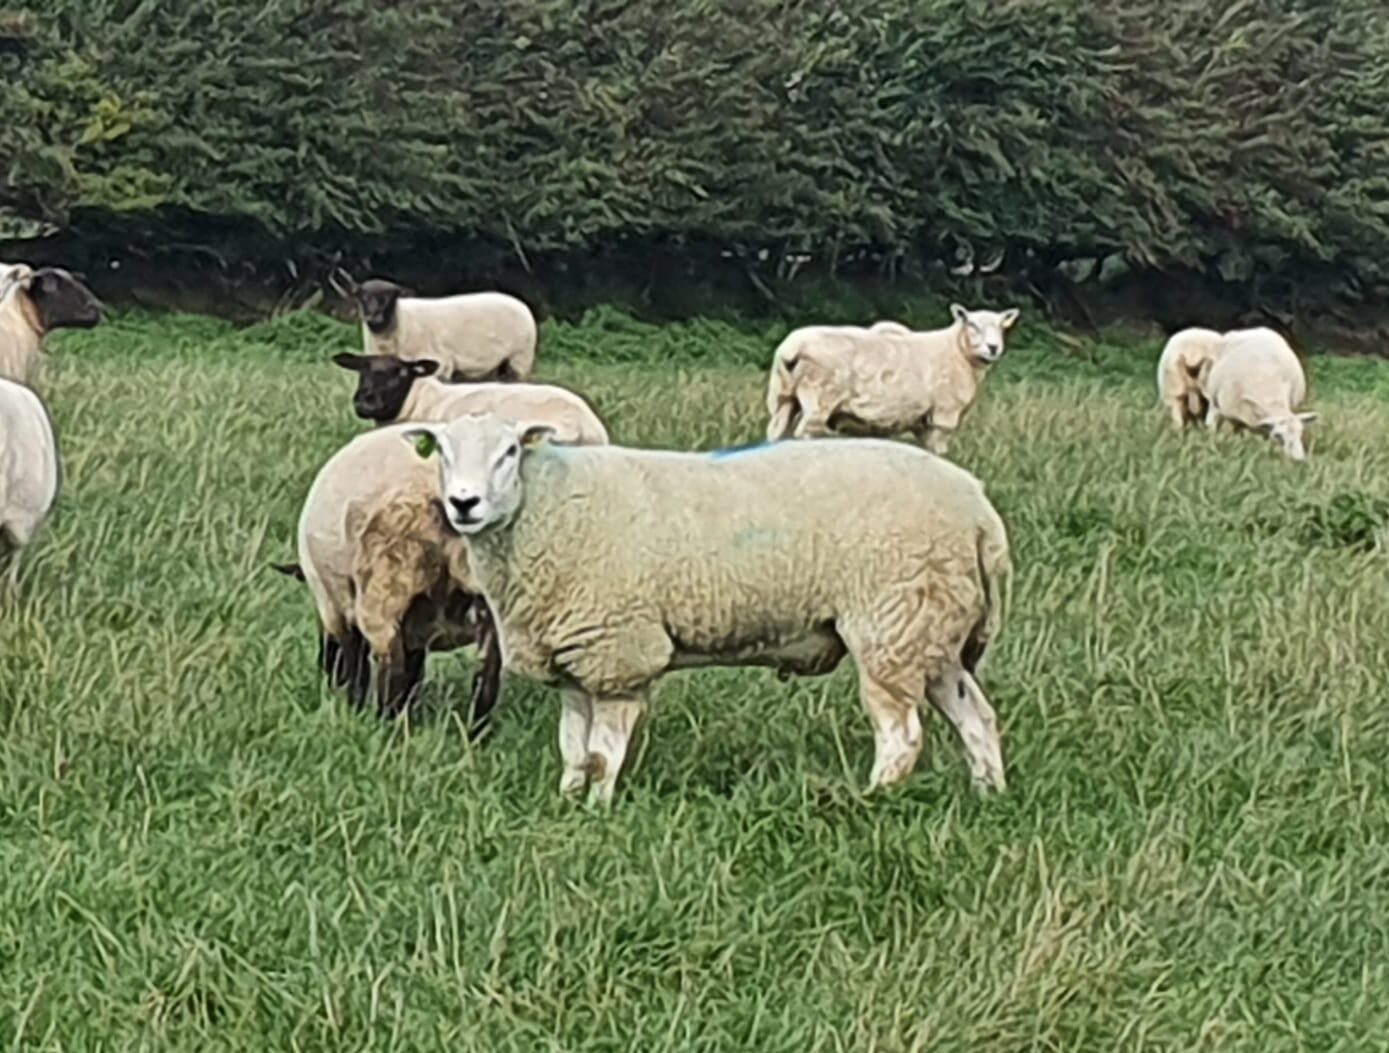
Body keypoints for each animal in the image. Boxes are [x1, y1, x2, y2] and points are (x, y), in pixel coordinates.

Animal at [334, 272, 537, 382]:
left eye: (390, 297)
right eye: (362, 296)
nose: (373, 317)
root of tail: (522, 305)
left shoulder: (440, 365)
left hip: (520, 359)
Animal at [402, 413, 1012, 805]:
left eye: (509, 452)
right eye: (443, 452)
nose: (463, 503)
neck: (546, 506)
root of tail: (980, 509)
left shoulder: (620, 652)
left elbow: (602, 752)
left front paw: (598, 811)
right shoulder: (575, 658)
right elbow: (573, 749)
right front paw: (567, 802)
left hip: (891, 621)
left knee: (902, 735)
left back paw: (869, 802)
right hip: (932, 626)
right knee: (976, 718)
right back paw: (990, 797)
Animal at [765, 303, 1020, 455]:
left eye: (1001, 326)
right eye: (972, 325)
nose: (993, 347)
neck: (957, 351)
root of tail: (791, 348)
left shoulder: (923, 421)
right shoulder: (945, 413)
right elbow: (938, 451)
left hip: (783, 397)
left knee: (776, 432)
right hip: (820, 398)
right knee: (804, 433)